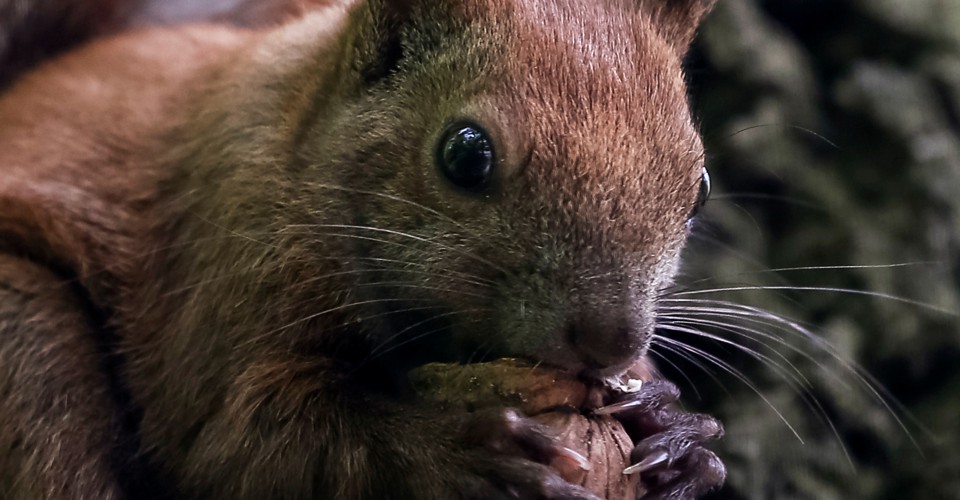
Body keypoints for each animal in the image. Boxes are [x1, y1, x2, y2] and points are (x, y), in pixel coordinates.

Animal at [0, 0, 725, 498]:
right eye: (465, 155)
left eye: (702, 187)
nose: (611, 343)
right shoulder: (222, 264)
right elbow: (238, 446)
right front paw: (461, 452)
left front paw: (678, 431)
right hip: (28, 340)